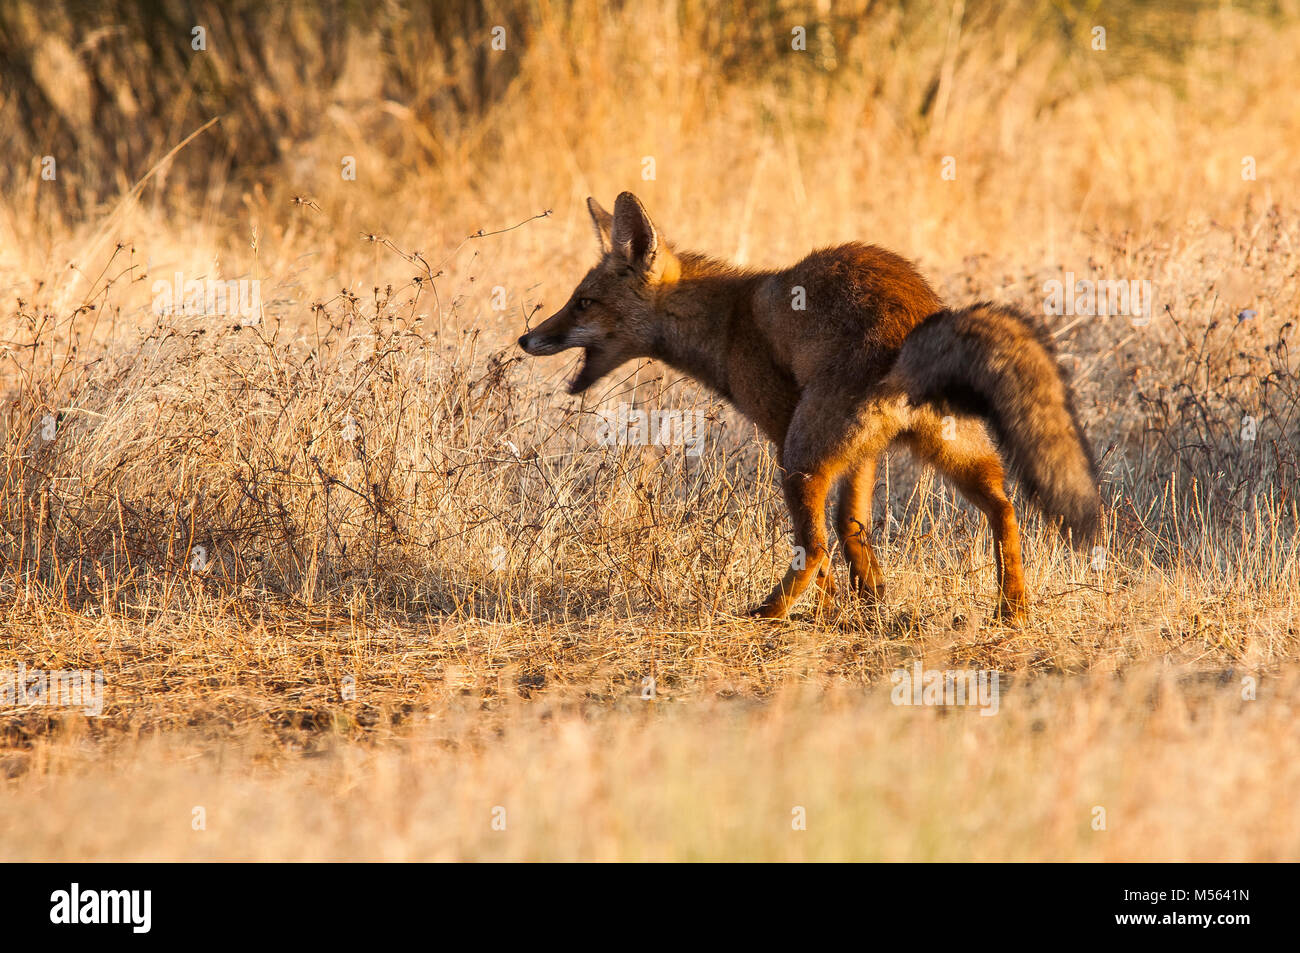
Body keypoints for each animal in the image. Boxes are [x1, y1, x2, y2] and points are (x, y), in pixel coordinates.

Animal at [518, 191, 1100, 623]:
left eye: (583, 303)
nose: (526, 338)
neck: (728, 323)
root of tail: (918, 321)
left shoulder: (783, 427)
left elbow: (826, 548)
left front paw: (828, 610)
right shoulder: (863, 456)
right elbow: (854, 528)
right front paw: (868, 601)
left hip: (800, 460)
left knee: (813, 547)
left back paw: (768, 613)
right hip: (951, 451)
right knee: (1005, 507)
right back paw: (1013, 608)